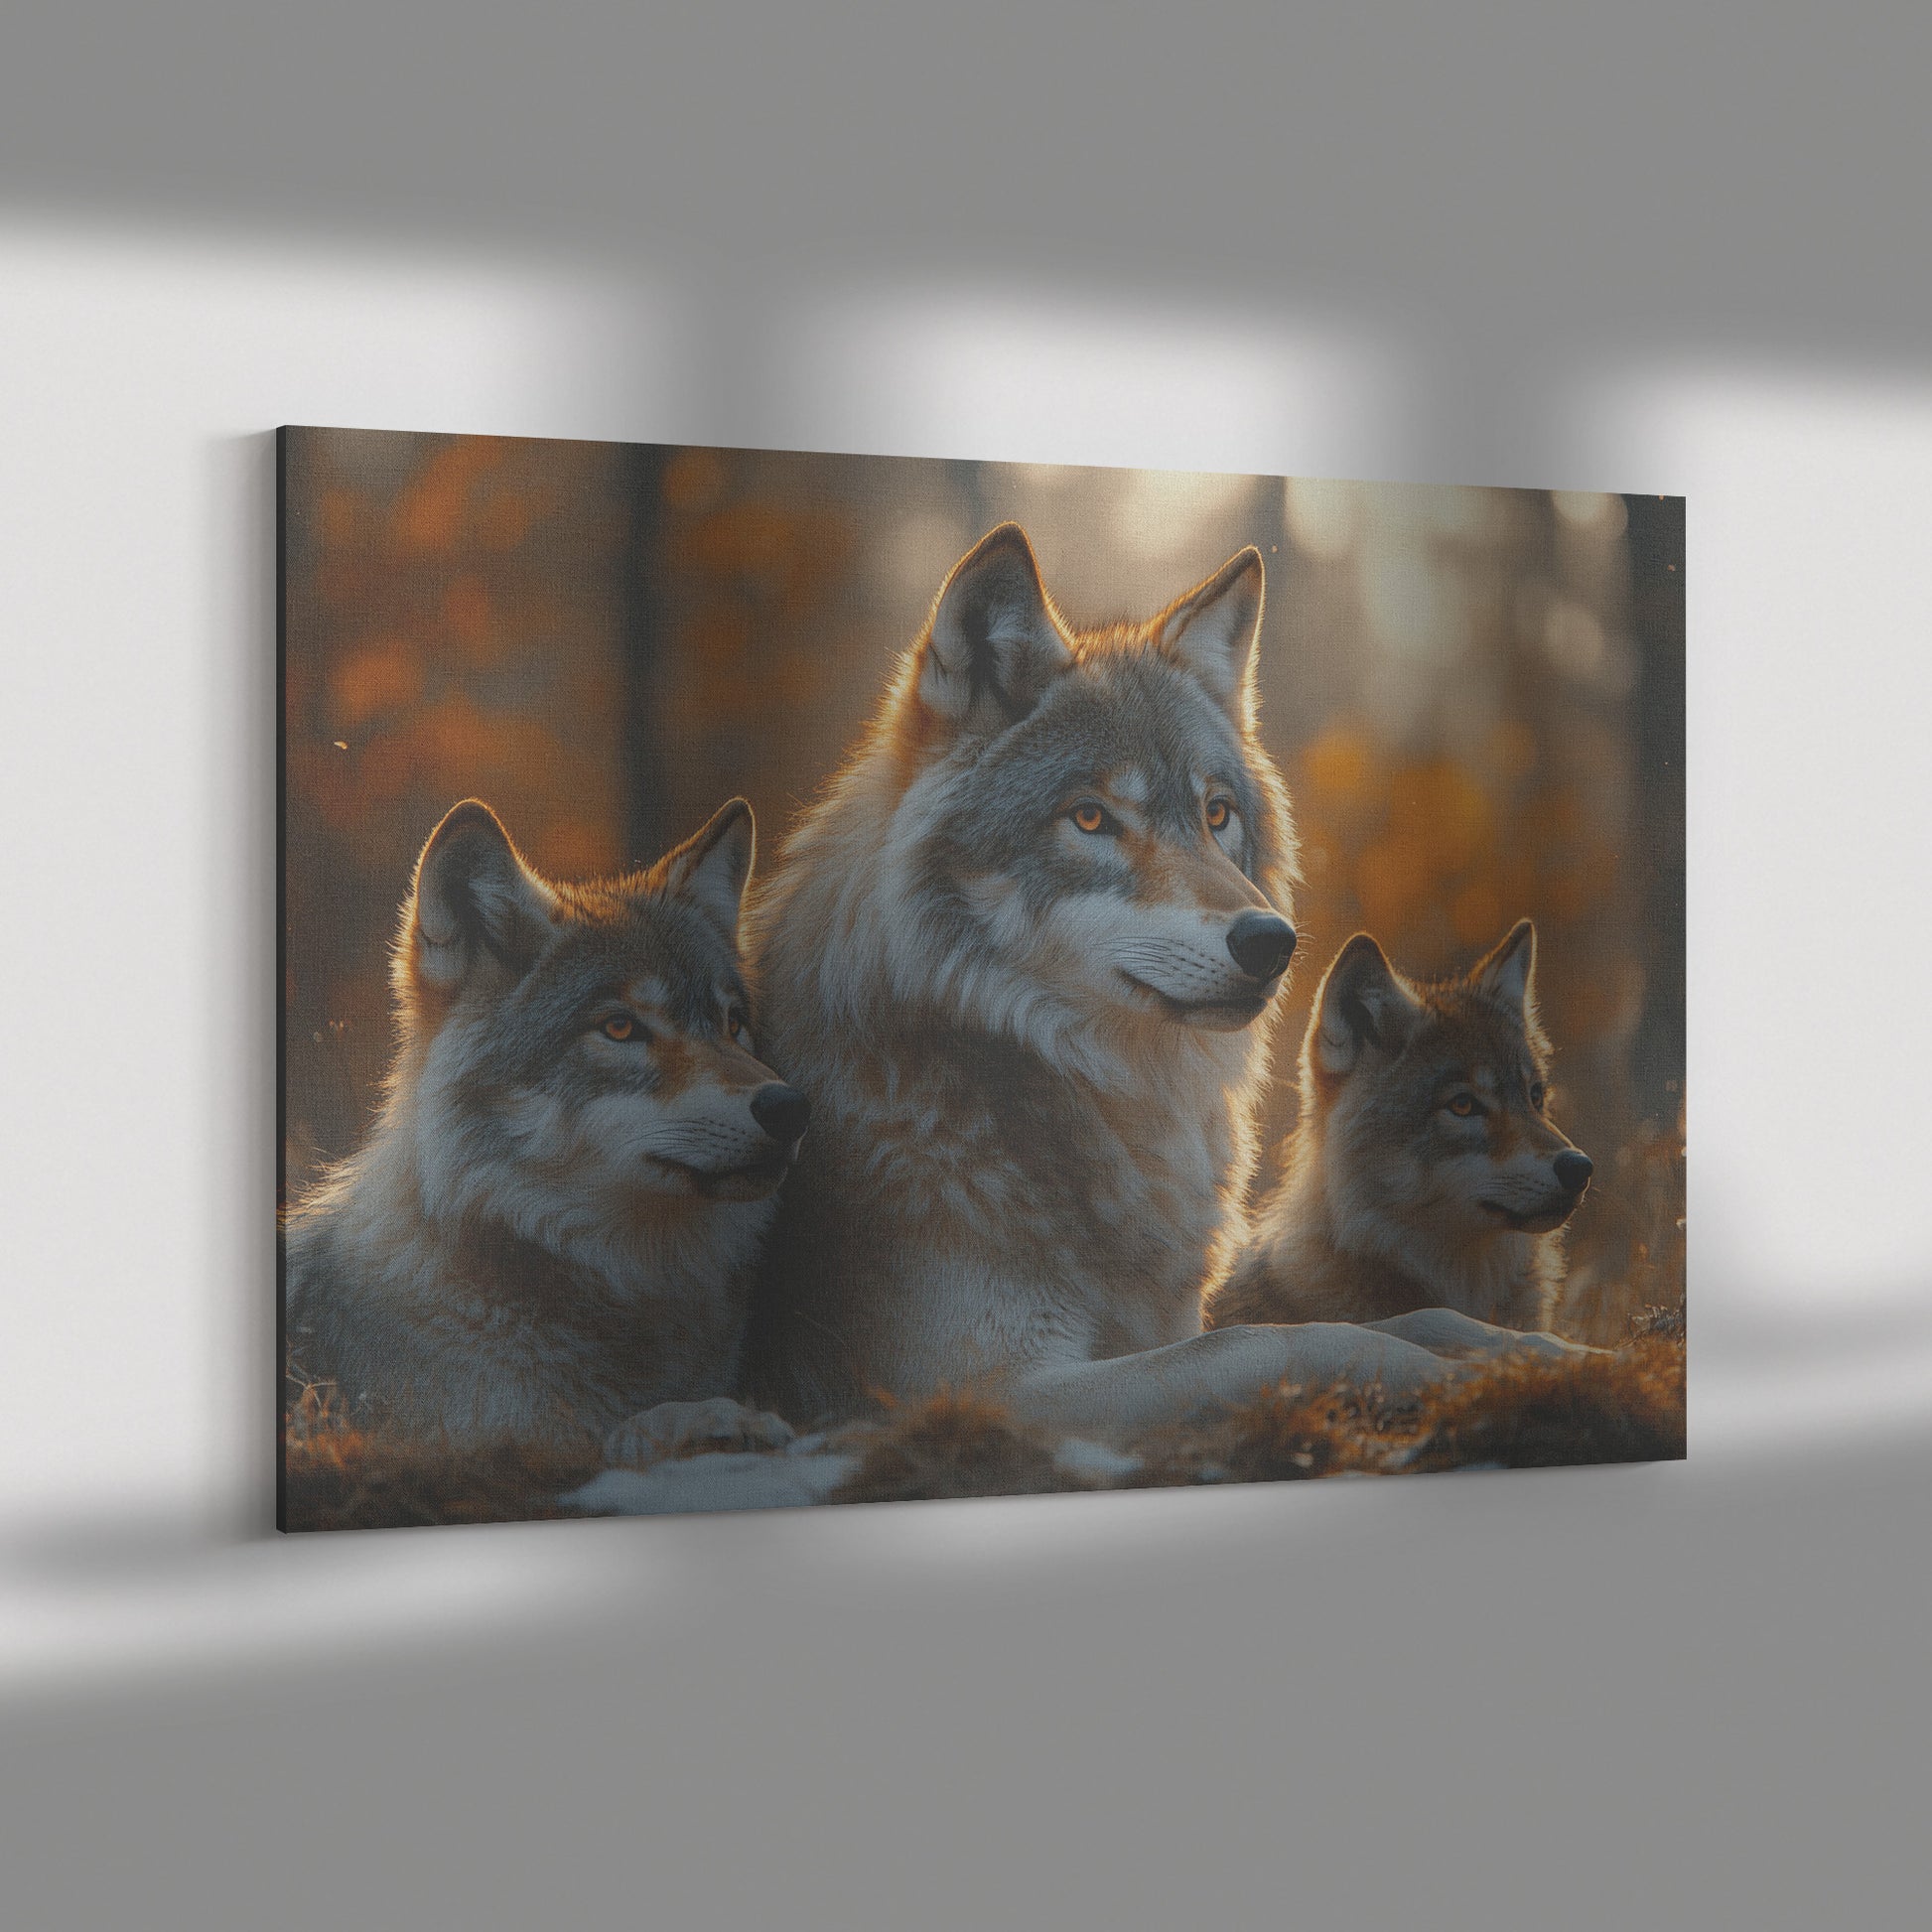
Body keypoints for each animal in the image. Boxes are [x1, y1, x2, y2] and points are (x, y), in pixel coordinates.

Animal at [283, 796, 809, 1462]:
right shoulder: (488, 1436)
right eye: (619, 1028)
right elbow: (621, 1429)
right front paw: (720, 1419)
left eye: (732, 1022)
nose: (791, 1106)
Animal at [743, 522, 1459, 1442]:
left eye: (1217, 813)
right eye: (1091, 818)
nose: (1273, 941)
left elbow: (1421, 1316)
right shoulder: (980, 1390)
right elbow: (1272, 1341)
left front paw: (1537, 1348)